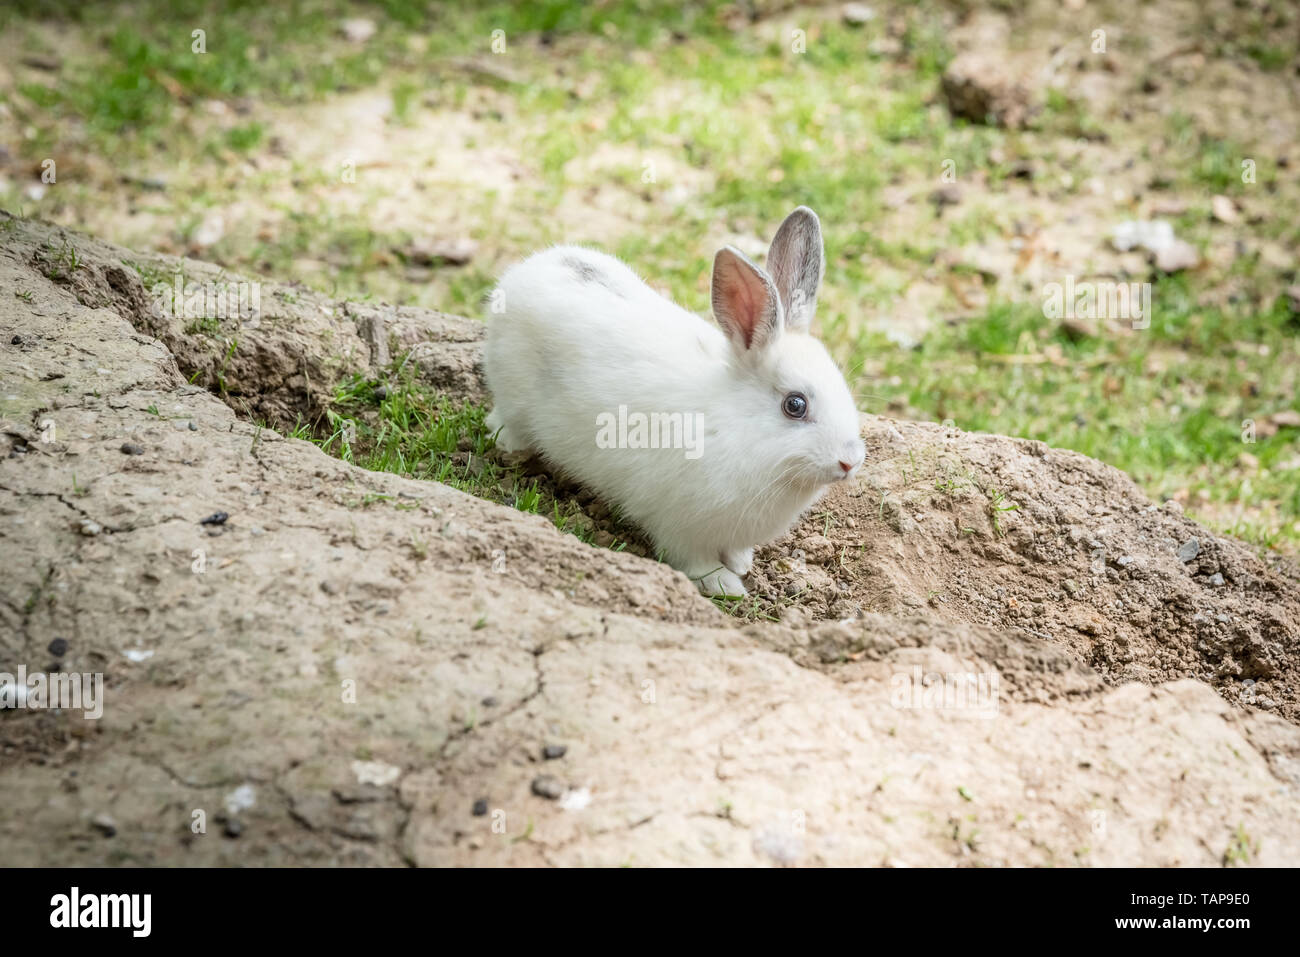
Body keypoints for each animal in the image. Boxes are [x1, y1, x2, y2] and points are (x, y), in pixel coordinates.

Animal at [483, 206, 865, 596]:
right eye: (795, 405)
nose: (850, 461)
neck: (736, 426)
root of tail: (524, 271)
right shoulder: (681, 527)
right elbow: (693, 561)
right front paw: (724, 584)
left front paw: (741, 563)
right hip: (512, 395)